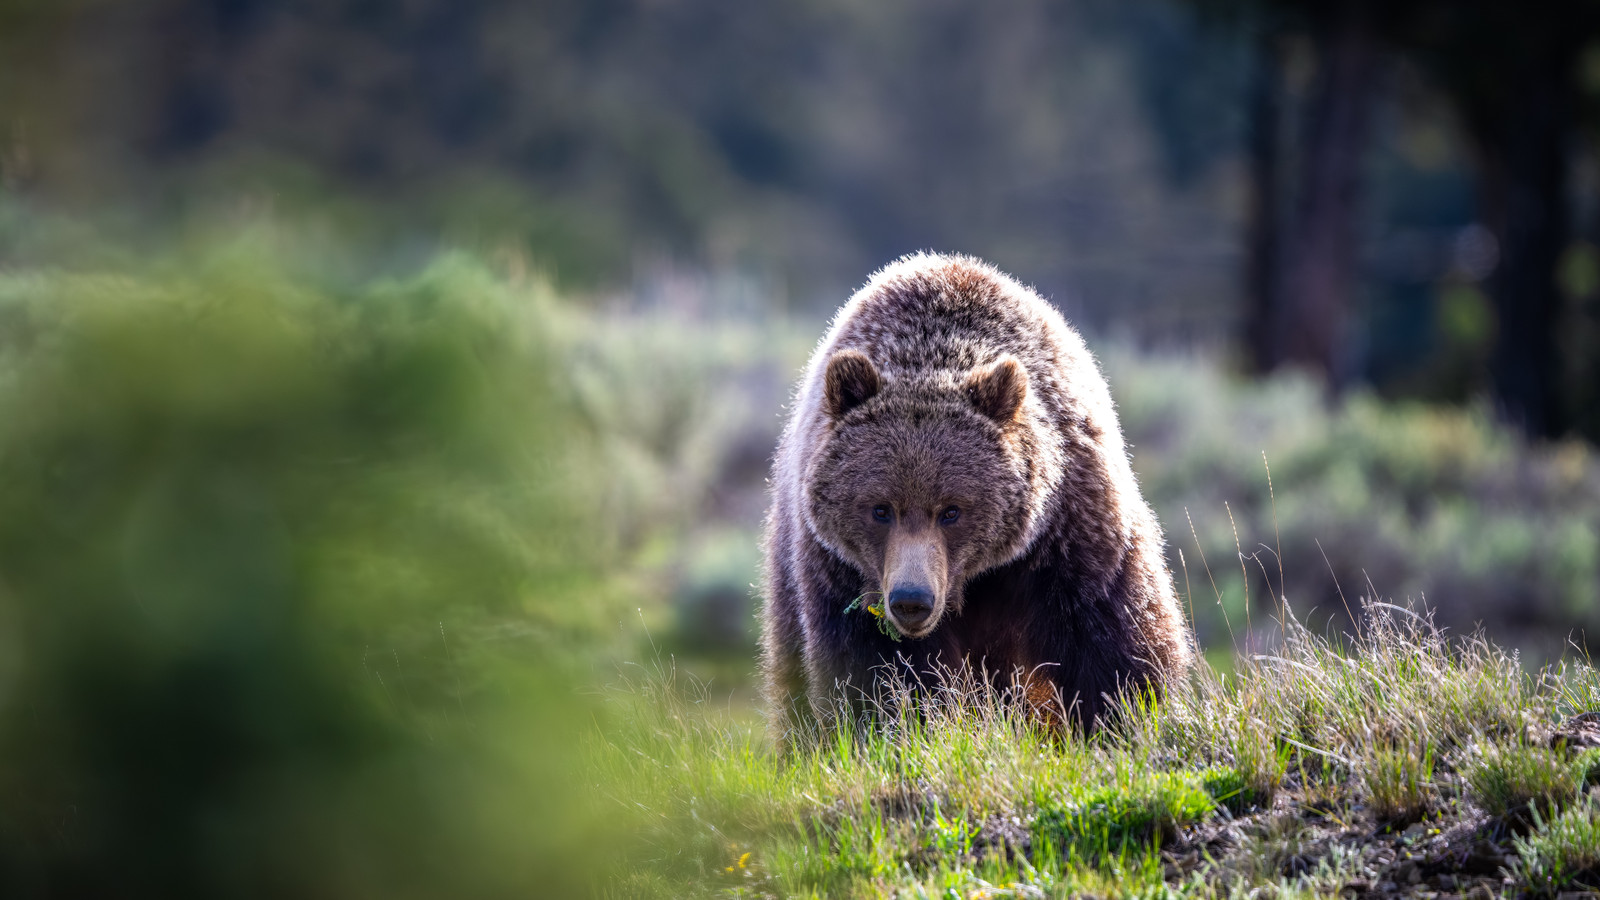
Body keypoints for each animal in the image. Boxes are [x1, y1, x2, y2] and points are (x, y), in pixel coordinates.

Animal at [759, 252, 1193, 742]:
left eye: (952, 510)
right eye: (880, 509)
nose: (912, 600)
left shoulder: (1068, 530)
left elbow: (1114, 641)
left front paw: (1123, 721)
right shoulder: (841, 570)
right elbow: (878, 673)